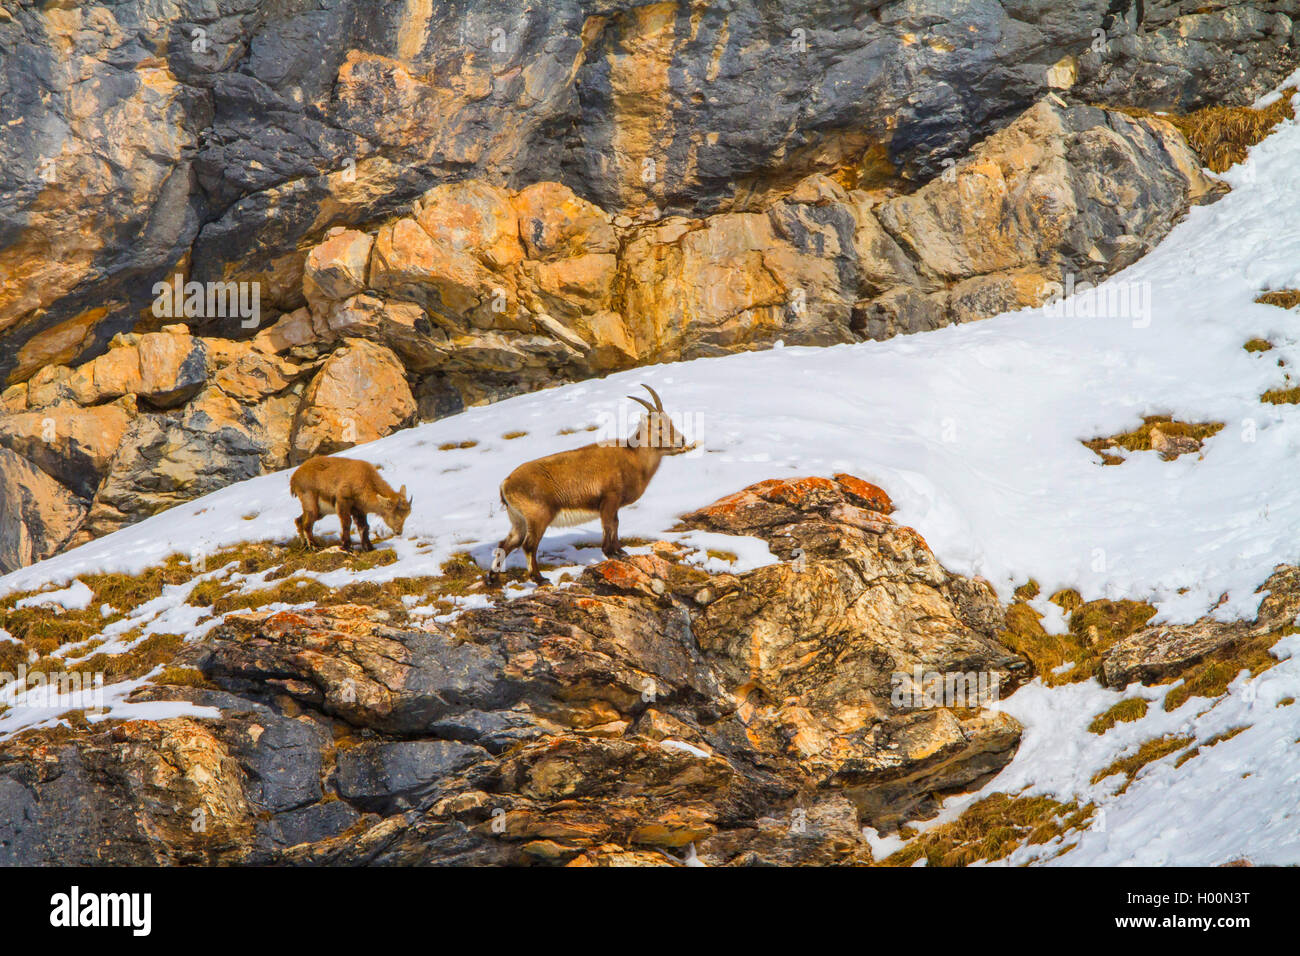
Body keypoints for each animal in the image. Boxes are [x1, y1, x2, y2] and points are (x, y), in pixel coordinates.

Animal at [487, 384, 695, 584]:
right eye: (659, 427)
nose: (682, 440)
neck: (633, 457)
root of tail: (505, 484)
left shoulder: (613, 503)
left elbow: (615, 523)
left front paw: (619, 551)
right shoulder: (610, 499)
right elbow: (609, 524)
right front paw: (610, 552)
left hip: (518, 519)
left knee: (506, 543)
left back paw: (492, 578)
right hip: (538, 516)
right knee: (529, 545)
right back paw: (540, 579)